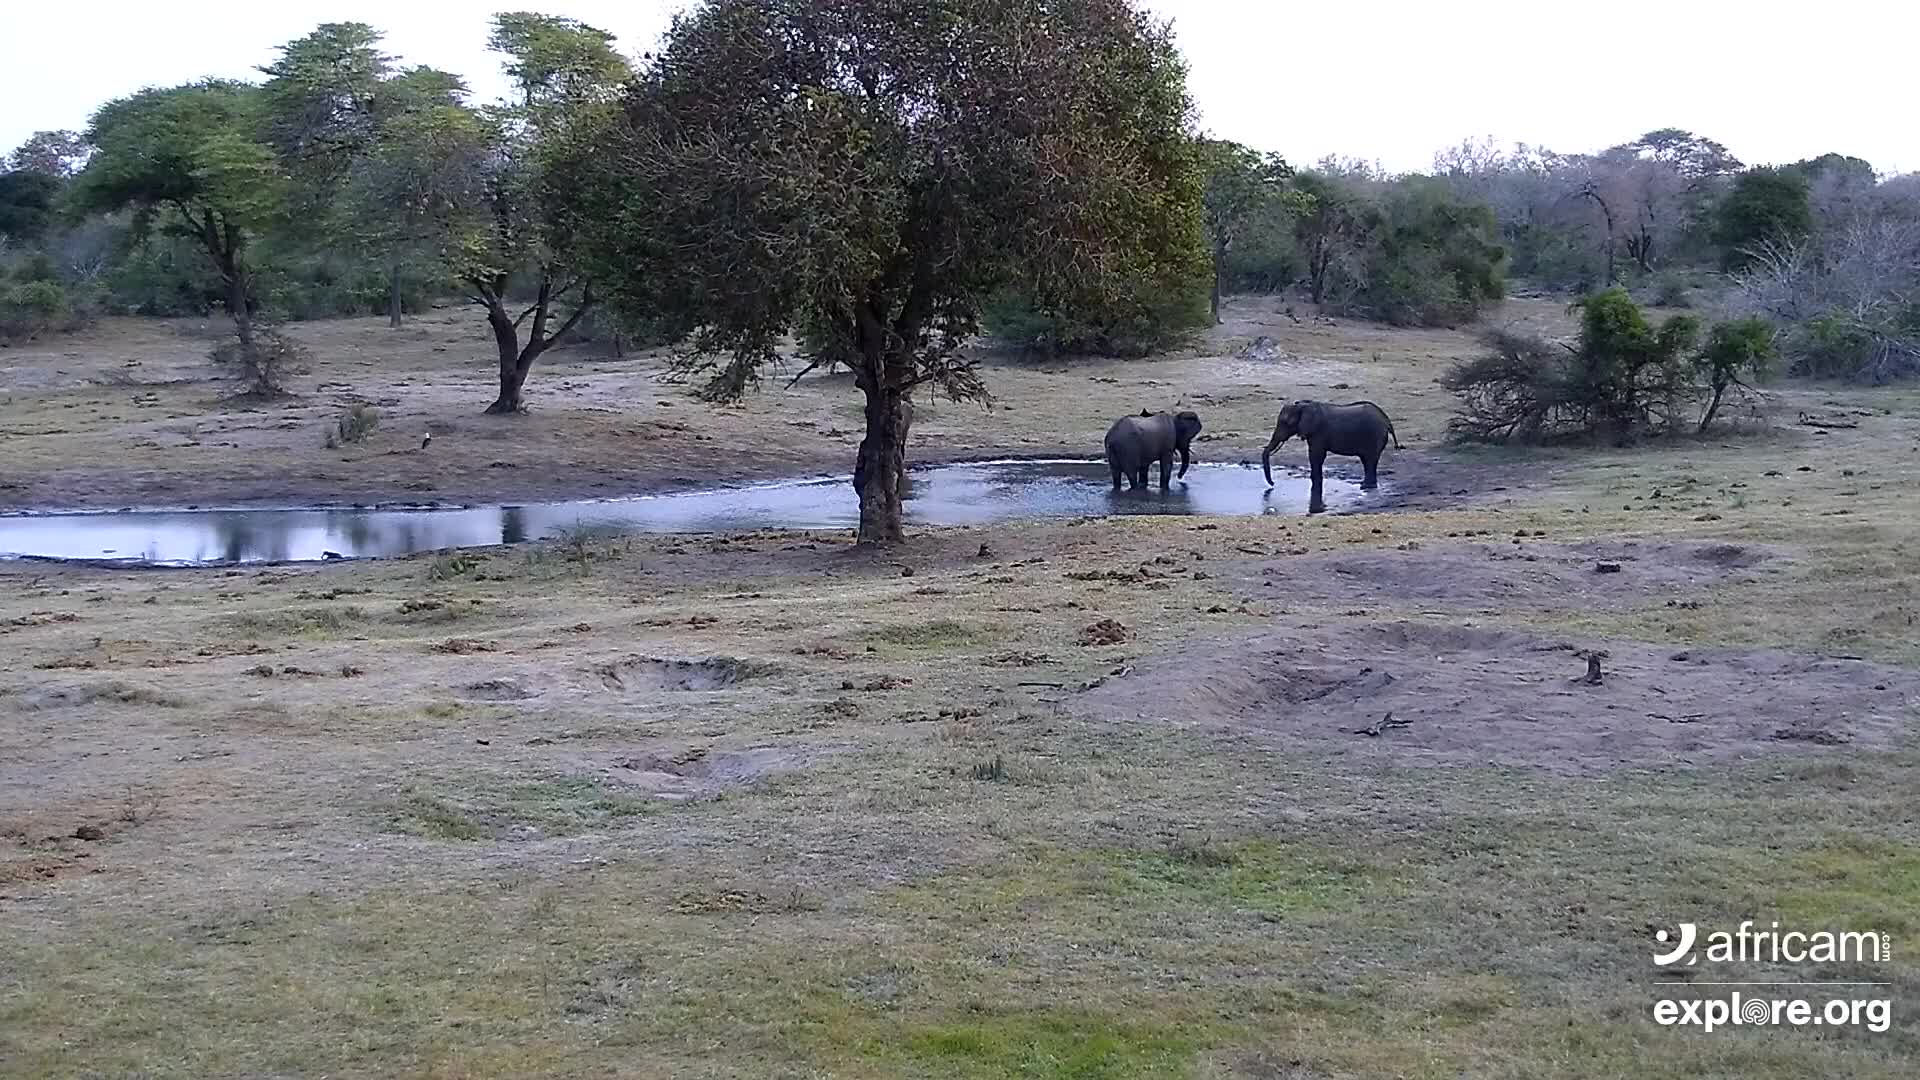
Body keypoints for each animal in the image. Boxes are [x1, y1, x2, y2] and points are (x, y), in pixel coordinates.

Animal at [1261, 399, 1400, 512]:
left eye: (1286, 423)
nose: (1273, 484)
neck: (1303, 405)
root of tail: (1387, 421)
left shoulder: (1317, 432)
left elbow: (1316, 455)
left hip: (1374, 436)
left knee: (1370, 460)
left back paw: (1366, 486)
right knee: (1367, 461)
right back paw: (1365, 486)